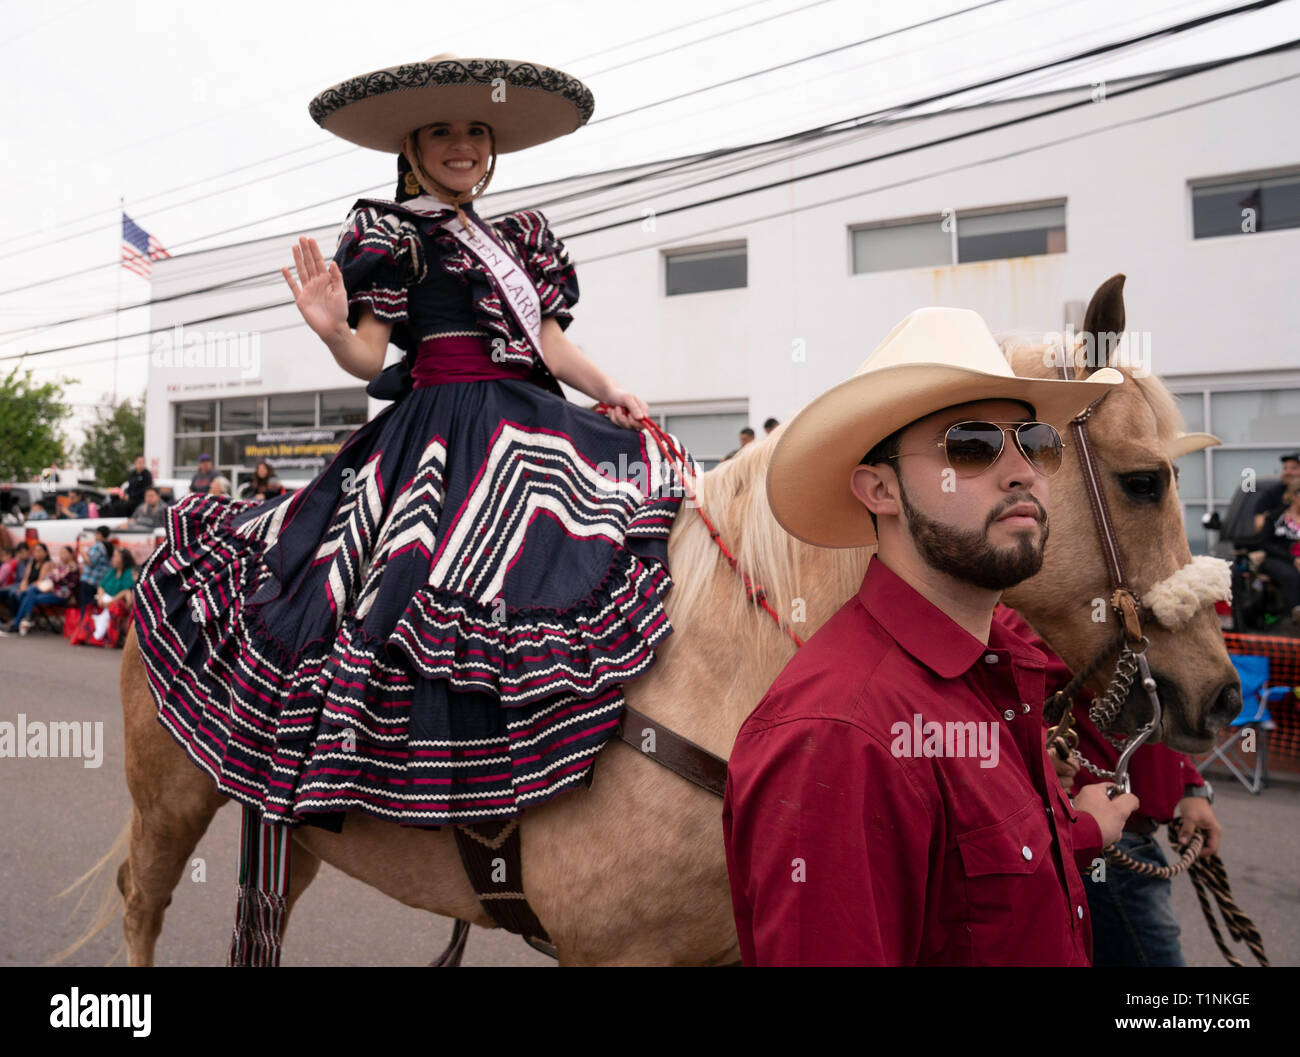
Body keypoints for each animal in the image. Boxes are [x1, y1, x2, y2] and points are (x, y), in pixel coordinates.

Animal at [68, 274, 1237, 967]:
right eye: (1141, 481)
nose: (1218, 692)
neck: (724, 673)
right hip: (171, 802)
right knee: (140, 902)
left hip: (284, 829)